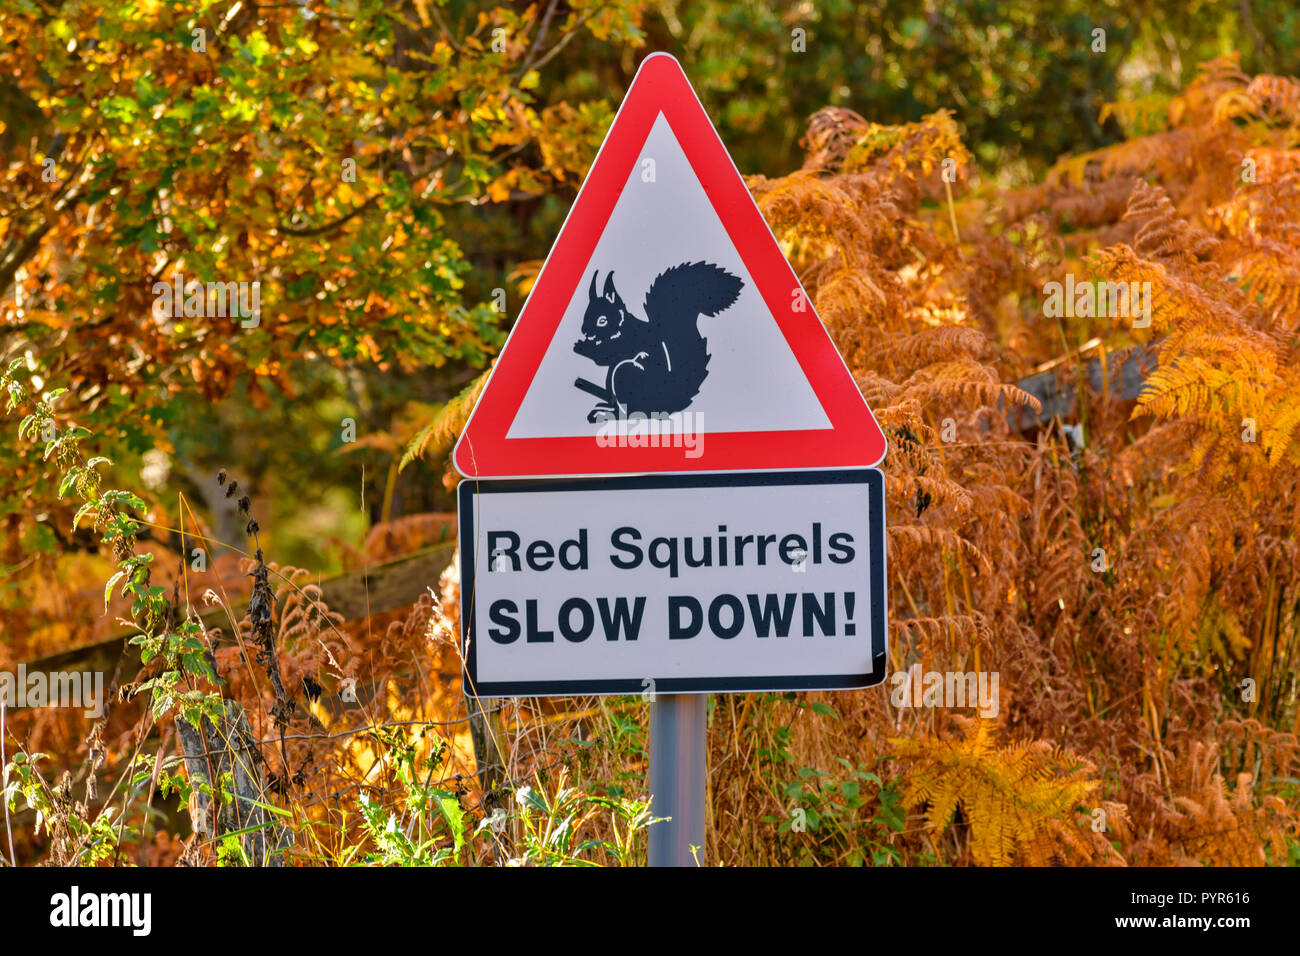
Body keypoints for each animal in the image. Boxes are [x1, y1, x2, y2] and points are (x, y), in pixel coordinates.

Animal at [573, 262, 744, 422]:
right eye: (586, 314)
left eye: (602, 320)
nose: (584, 331)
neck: (619, 328)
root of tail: (661, 405)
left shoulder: (624, 342)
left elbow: (603, 357)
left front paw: (582, 346)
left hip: (624, 372)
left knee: (629, 412)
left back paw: (606, 412)